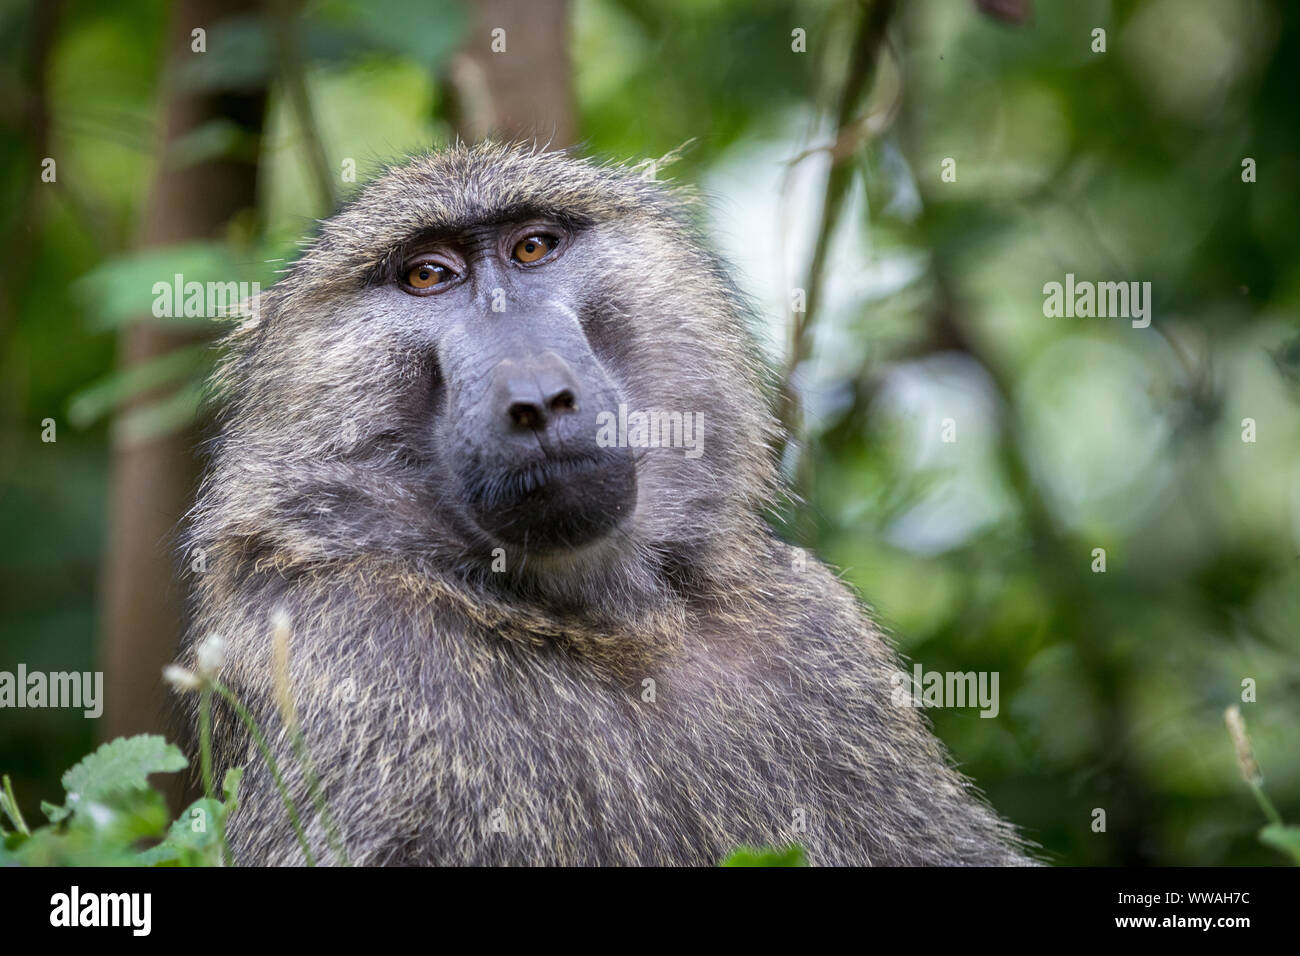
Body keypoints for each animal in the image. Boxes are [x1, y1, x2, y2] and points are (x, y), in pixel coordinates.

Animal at [175, 142, 1034, 866]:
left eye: (532, 248)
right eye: (427, 276)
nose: (537, 398)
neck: (600, 614)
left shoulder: (816, 629)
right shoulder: (346, 648)